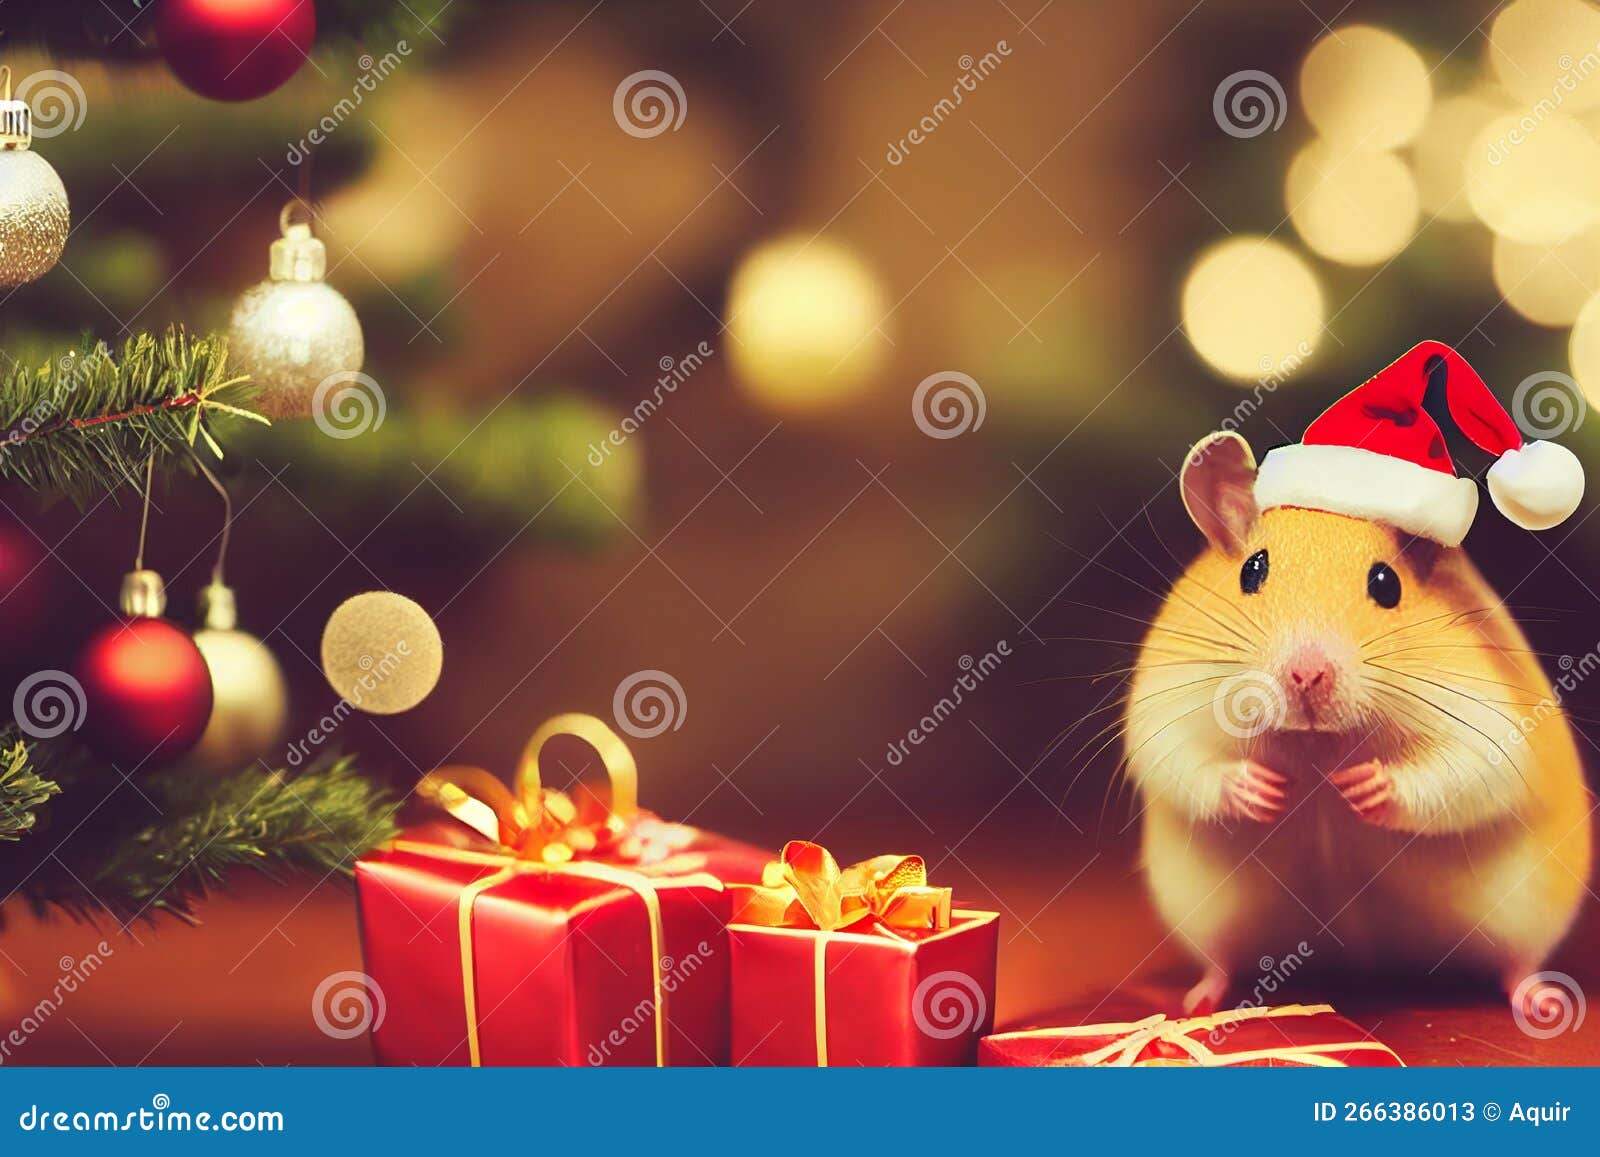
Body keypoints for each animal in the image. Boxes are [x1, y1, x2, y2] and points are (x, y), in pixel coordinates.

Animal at [1124, 430, 1593, 1019]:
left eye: (1386, 585)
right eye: (1252, 570)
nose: (1306, 674)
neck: (1319, 743)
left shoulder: (1492, 725)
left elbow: (1457, 778)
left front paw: (1358, 786)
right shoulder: (1162, 707)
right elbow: (1188, 765)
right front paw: (1265, 790)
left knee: (1518, 966)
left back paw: (1541, 1003)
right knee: (1220, 961)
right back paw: (1196, 1002)